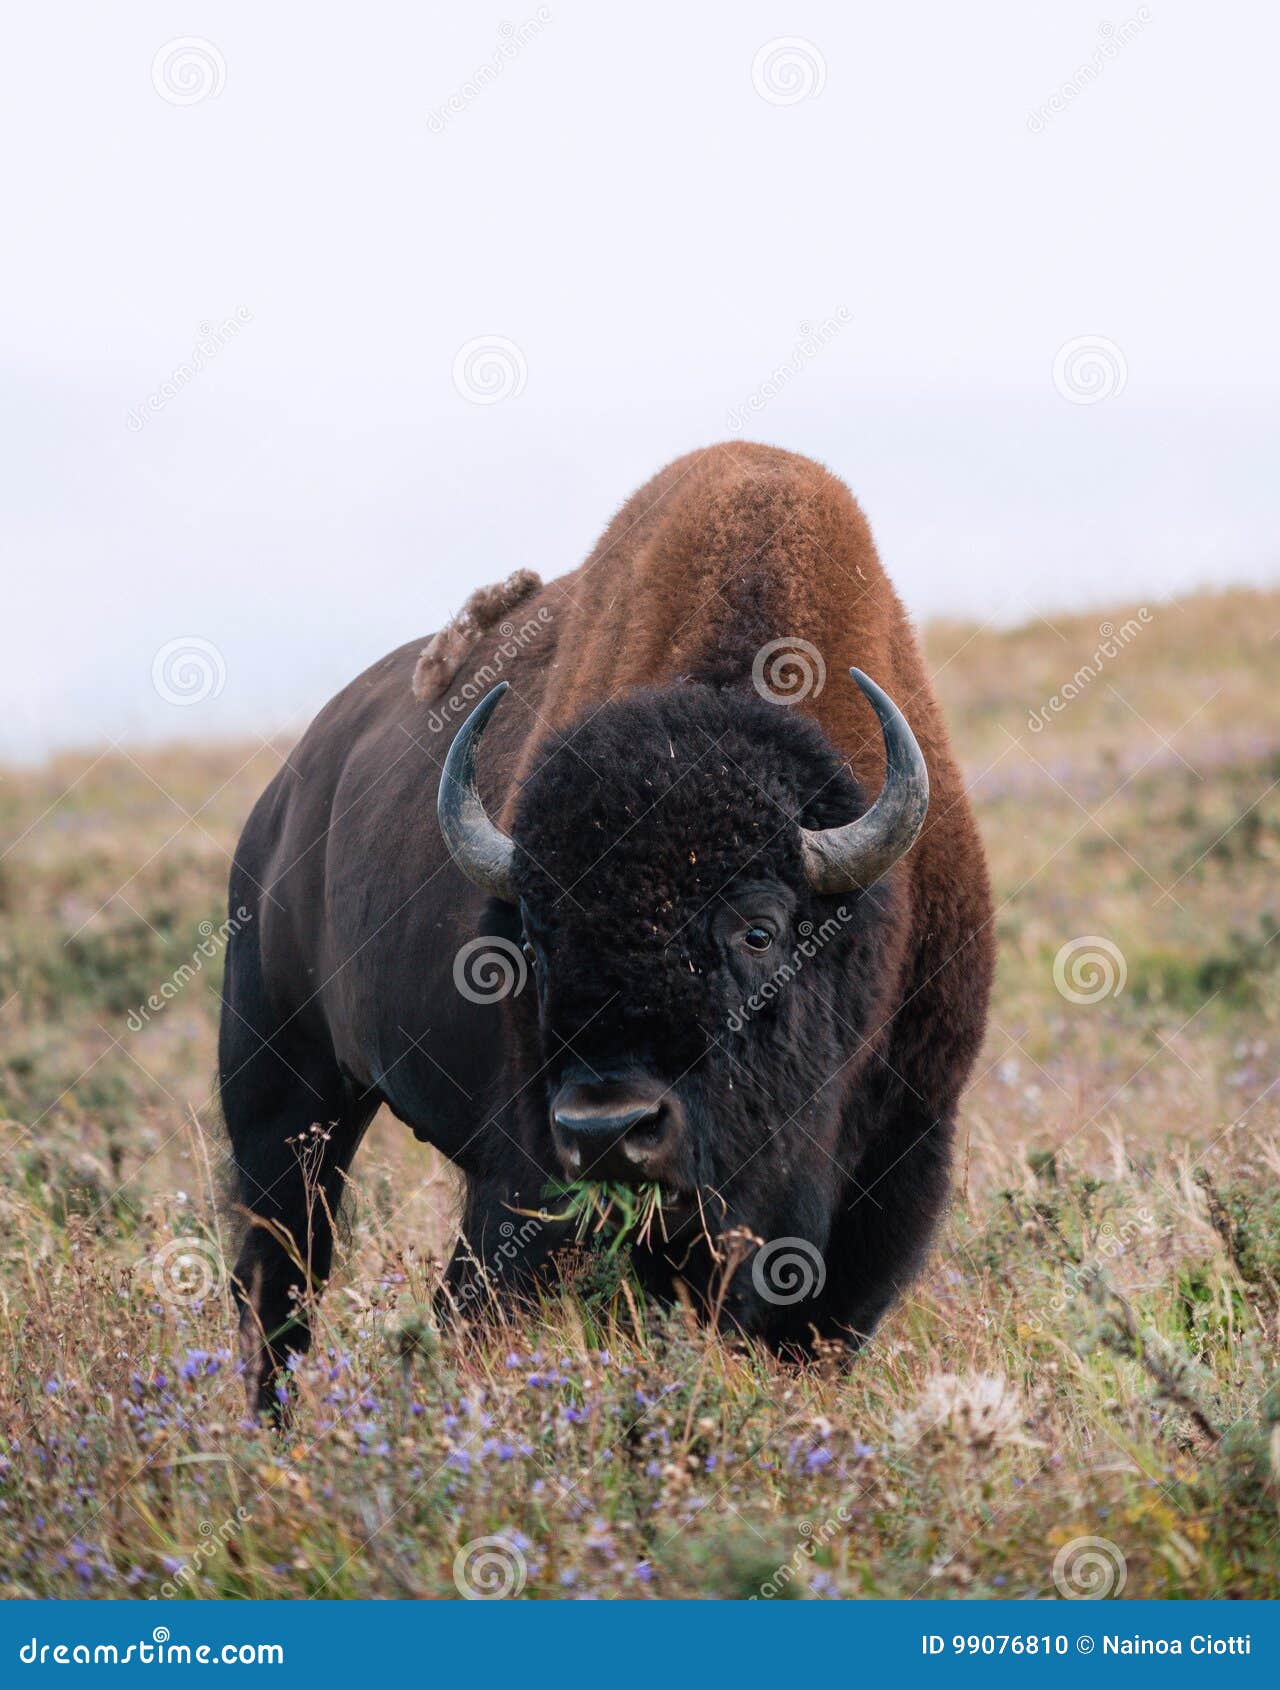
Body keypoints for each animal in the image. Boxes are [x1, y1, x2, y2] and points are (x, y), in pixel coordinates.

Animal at [220, 443, 994, 1413]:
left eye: (759, 930)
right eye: (535, 942)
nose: (608, 1129)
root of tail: (281, 804)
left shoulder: (899, 1165)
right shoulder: (527, 1179)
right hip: (282, 1093)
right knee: (279, 1281)